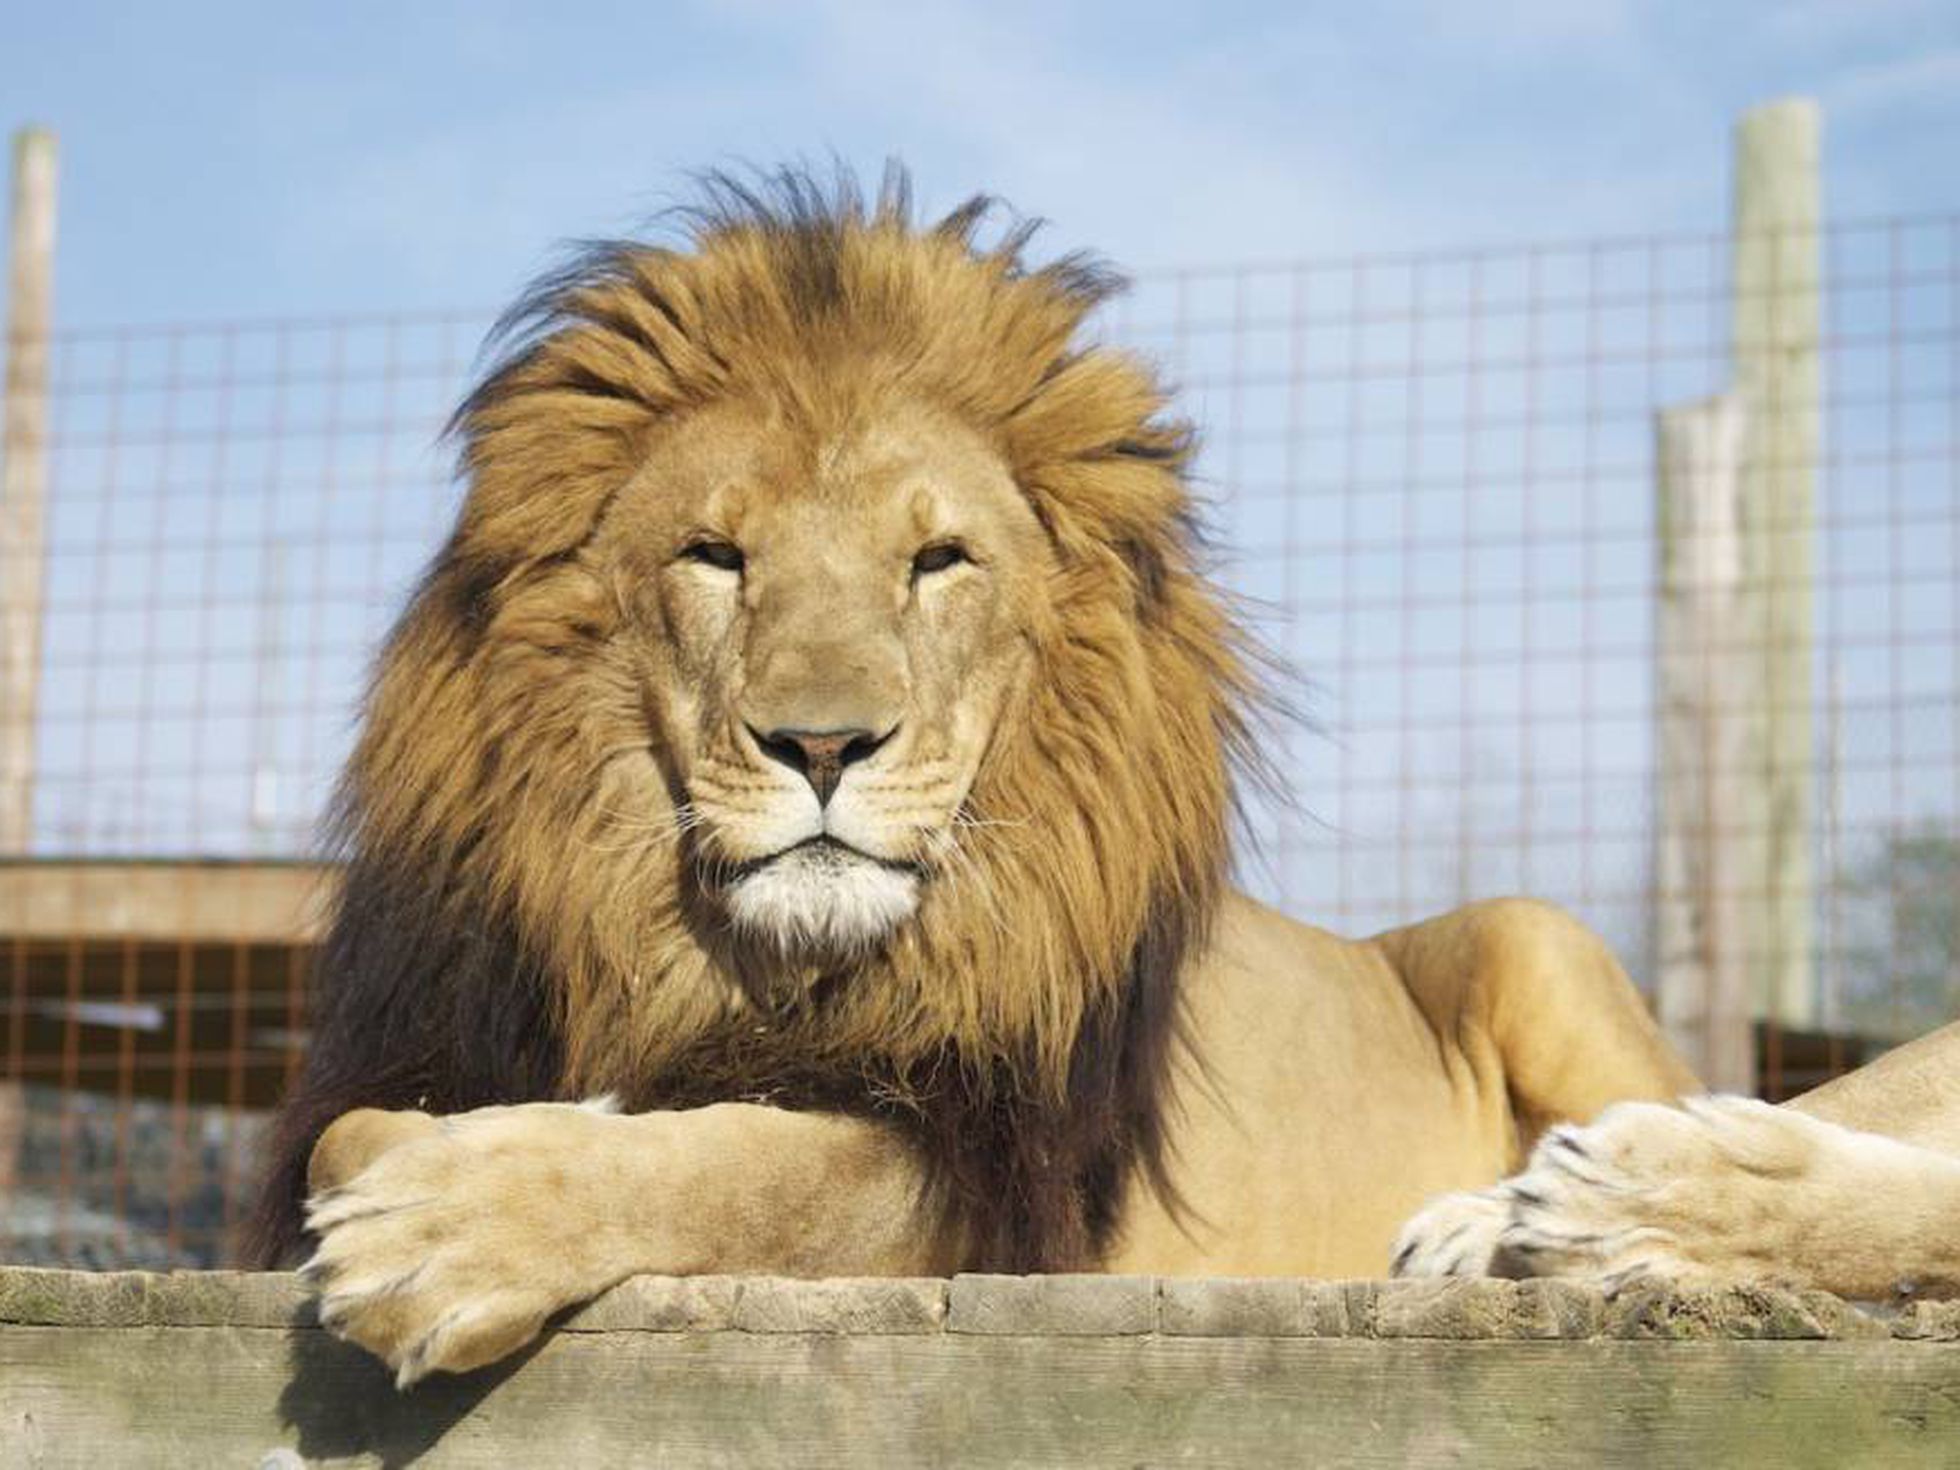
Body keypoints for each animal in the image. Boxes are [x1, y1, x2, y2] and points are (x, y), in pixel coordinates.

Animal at [248, 168, 1699, 1387]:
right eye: (716, 555)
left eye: (936, 561)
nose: (822, 745)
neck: (752, 970)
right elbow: (345, 1135)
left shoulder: (985, 1171)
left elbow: (750, 1171)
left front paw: (442, 1227)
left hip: (1536, 939)